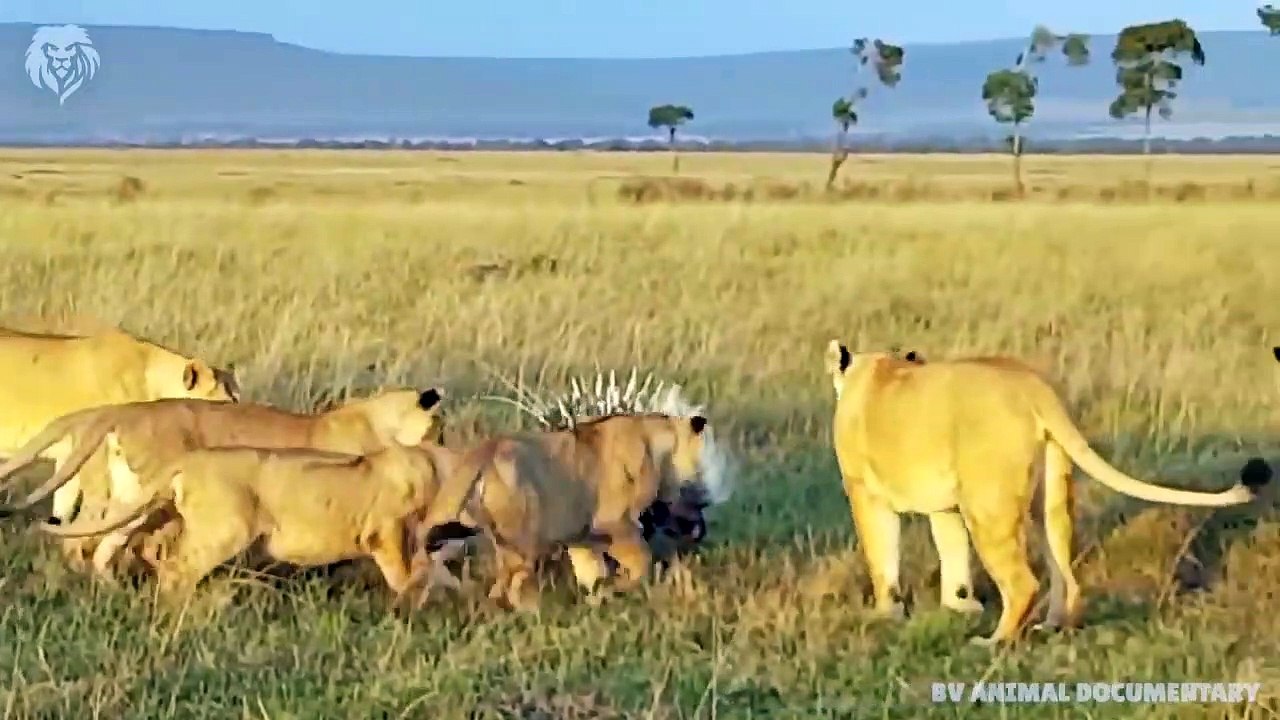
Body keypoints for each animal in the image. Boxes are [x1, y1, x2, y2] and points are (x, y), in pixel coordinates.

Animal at [0, 387, 446, 577]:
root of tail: (123, 410)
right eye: (438, 430)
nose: (446, 444)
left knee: (96, 543)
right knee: (83, 542)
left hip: (131, 501)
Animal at [37, 442, 464, 605]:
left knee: (110, 547)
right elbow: (406, 575)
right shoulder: (386, 531)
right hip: (227, 529)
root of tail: (188, 460)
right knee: (175, 569)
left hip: (150, 511)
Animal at [416, 412, 711, 611]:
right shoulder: (616, 524)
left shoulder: (582, 536)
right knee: (508, 587)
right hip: (524, 541)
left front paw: (598, 600)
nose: (701, 525)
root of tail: (486, 449)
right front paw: (617, 588)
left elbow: (592, 572)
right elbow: (641, 561)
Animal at [823, 340, 1270, 646]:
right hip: (1050, 494)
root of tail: (1031, 384)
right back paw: (1053, 624)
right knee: (1065, 571)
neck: (874, 369)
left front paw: (885, 615)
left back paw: (994, 642)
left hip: (989, 504)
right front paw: (960, 606)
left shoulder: (864, 493)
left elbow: (882, 557)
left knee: (1023, 582)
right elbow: (952, 552)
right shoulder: (945, 506)